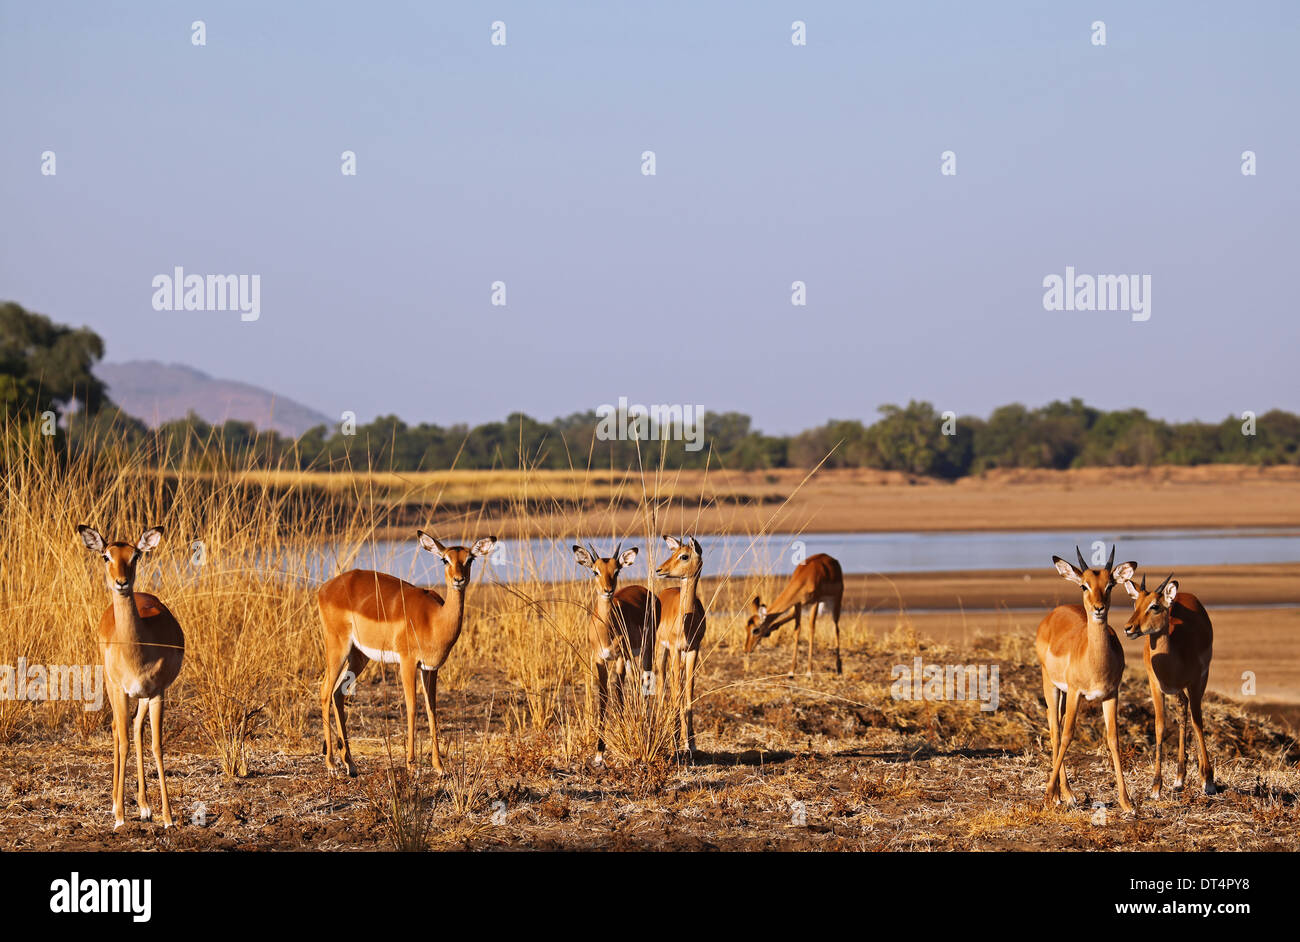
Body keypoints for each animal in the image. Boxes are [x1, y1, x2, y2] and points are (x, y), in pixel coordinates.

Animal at [77, 526, 185, 829]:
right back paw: (116, 805)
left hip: (142, 696)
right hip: (111, 688)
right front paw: (120, 819)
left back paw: (145, 807)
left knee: (137, 730)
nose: (121, 583)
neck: (138, 649)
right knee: (118, 729)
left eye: (135, 555)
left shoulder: (157, 693)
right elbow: (123, 741)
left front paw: (168, 818)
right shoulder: (121, 691)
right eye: (106, 556)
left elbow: (157, 745)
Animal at [317, 531, 496, 777]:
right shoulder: (407, 662)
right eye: (445, 560)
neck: (434, 619)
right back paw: (331, 763)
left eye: (470, 559)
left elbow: (432, 710)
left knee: (337, 693)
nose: (459, 580)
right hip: (337, 648)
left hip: (358, 656)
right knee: (325, 691)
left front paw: (439, 766)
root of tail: (325, 588)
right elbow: (412, 708)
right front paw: (412, 764)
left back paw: (350, 763)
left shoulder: (431, 668)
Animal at [571, 543, 660, 765]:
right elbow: (603, 696)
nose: (608, 590)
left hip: (647, 650)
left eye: (617, 570)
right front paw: (599, 754)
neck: (606, 630)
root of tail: (646, 591)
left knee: (643, 684)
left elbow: (618, 693)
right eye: (595, 571)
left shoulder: (619, 657)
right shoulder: (599, 660)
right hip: (631, 658)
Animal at [1035, 545, 1137, 813]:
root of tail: (1054, 613)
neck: (1095, 664)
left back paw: (1065, 793)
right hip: (1051, 685)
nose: (1099, 608)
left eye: (1110, 584)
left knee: (1057, 726)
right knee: (1056, 729)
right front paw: (1048, 796)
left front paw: (1127, 802)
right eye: (1084, 585)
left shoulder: (1111, 694)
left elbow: (1113, 740)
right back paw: (1061, 795)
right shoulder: (1075, 692)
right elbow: (1068, 735)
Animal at [1120, 573, 1216, 797]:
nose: (1128, 628)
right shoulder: (1155, 685)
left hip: (1198, 681)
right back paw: (1179, 779)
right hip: (1178, 690)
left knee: (1192, 715)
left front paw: (1208, 781)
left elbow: (1198, 723)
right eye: (1135, 603)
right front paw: (1156, 786)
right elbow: (1160, 726)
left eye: (1154, 605)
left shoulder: (1196, 681)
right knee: (1182, 707)